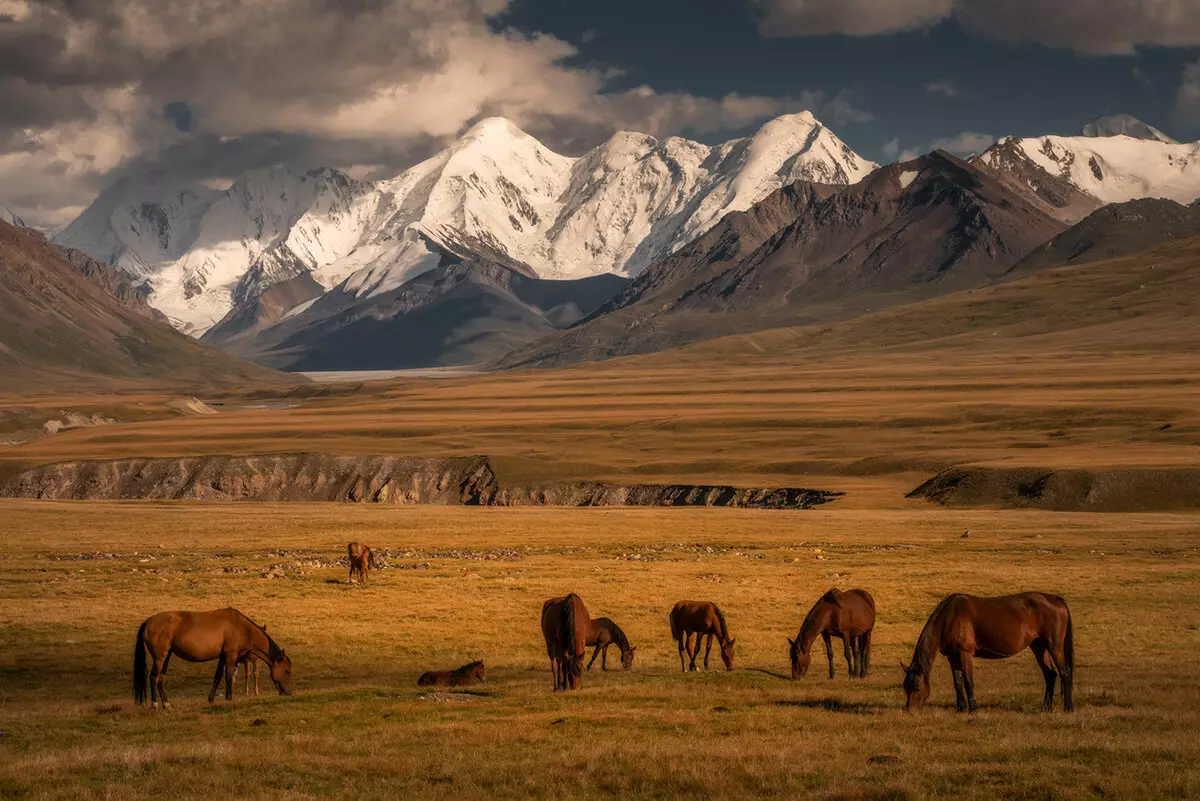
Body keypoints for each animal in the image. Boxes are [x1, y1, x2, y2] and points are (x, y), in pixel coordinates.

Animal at [132, 606, 292, 705]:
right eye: (287, 671)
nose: (289, 692)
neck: (242, 628)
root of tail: (147, 622)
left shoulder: (222, 657)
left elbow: (218, 677)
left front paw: (211, 699)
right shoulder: (230, 656)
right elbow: (228, 677)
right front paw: (229, 698)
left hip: (166, 657)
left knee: (160, 679)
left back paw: (166, 704)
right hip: (160, 658)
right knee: (153, 677)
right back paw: (155, 704)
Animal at [902, 587, 1080, 714]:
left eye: (917, 688)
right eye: (905, 687)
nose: (910, 711)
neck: (949, 618)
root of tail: (1055, 599)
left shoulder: (965, 653)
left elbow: (968, 680)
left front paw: (973, 708)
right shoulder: (952, 657)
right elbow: (957, 682)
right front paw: (961, 708)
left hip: (1054, 646)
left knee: (1064, 672)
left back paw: (1069, 707)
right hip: (1038, 646)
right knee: (1050, 675)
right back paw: (1046, 708)